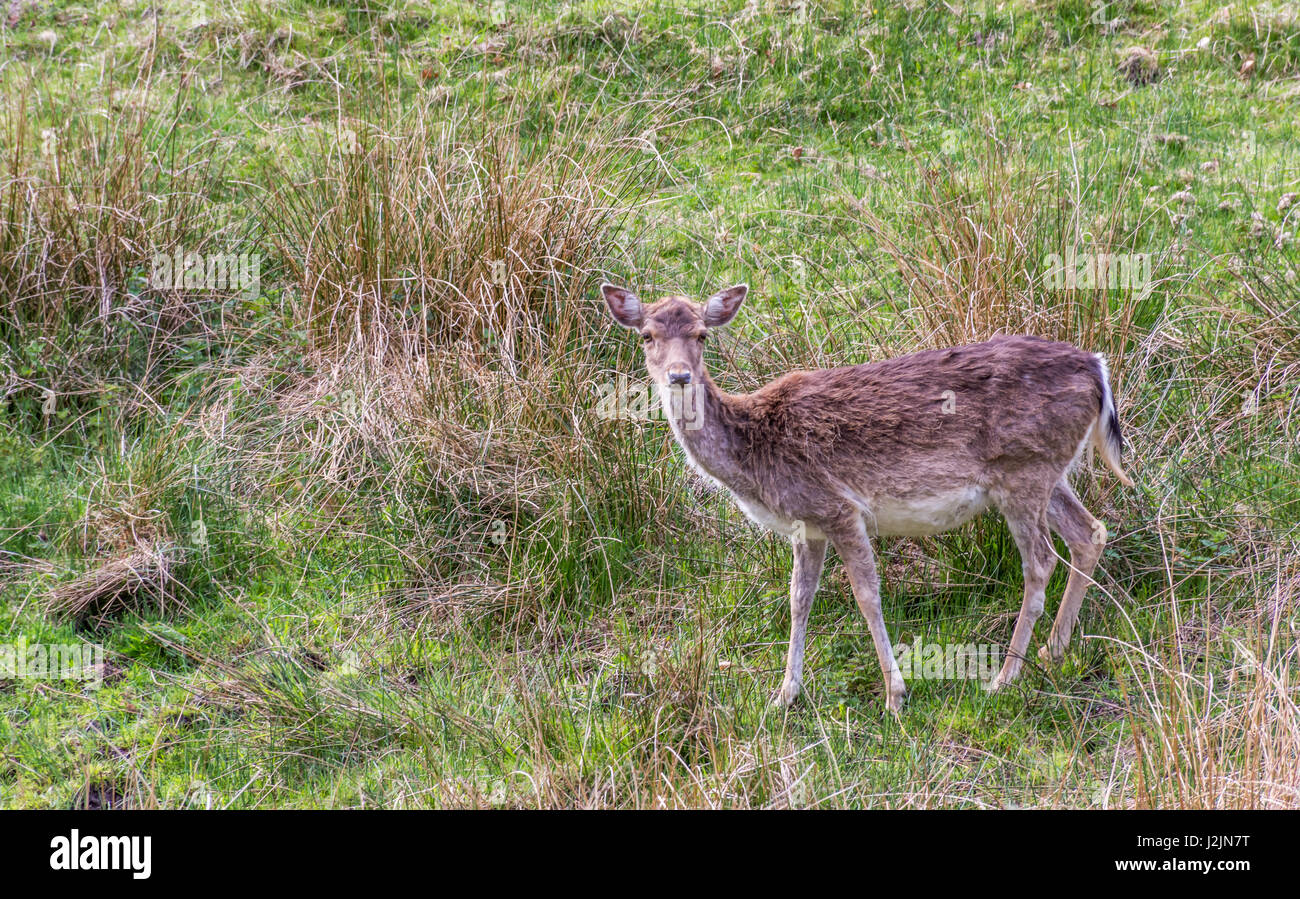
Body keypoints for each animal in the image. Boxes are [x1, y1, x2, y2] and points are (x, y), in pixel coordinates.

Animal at [602, 282, 1133, 713]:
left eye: (701, 335)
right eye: (646, 335)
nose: (678, 376)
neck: (754, 458)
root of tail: (1099, 368)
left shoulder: (839, 507)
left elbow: (867, 594)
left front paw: (895, 695)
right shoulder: (807, 524)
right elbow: (799, 598)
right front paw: (783, 696)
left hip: (1023, 472)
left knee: (1040, 561)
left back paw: (1004, 677)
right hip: (1047, 472)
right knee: (1089, 532)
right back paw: (1053, 651)